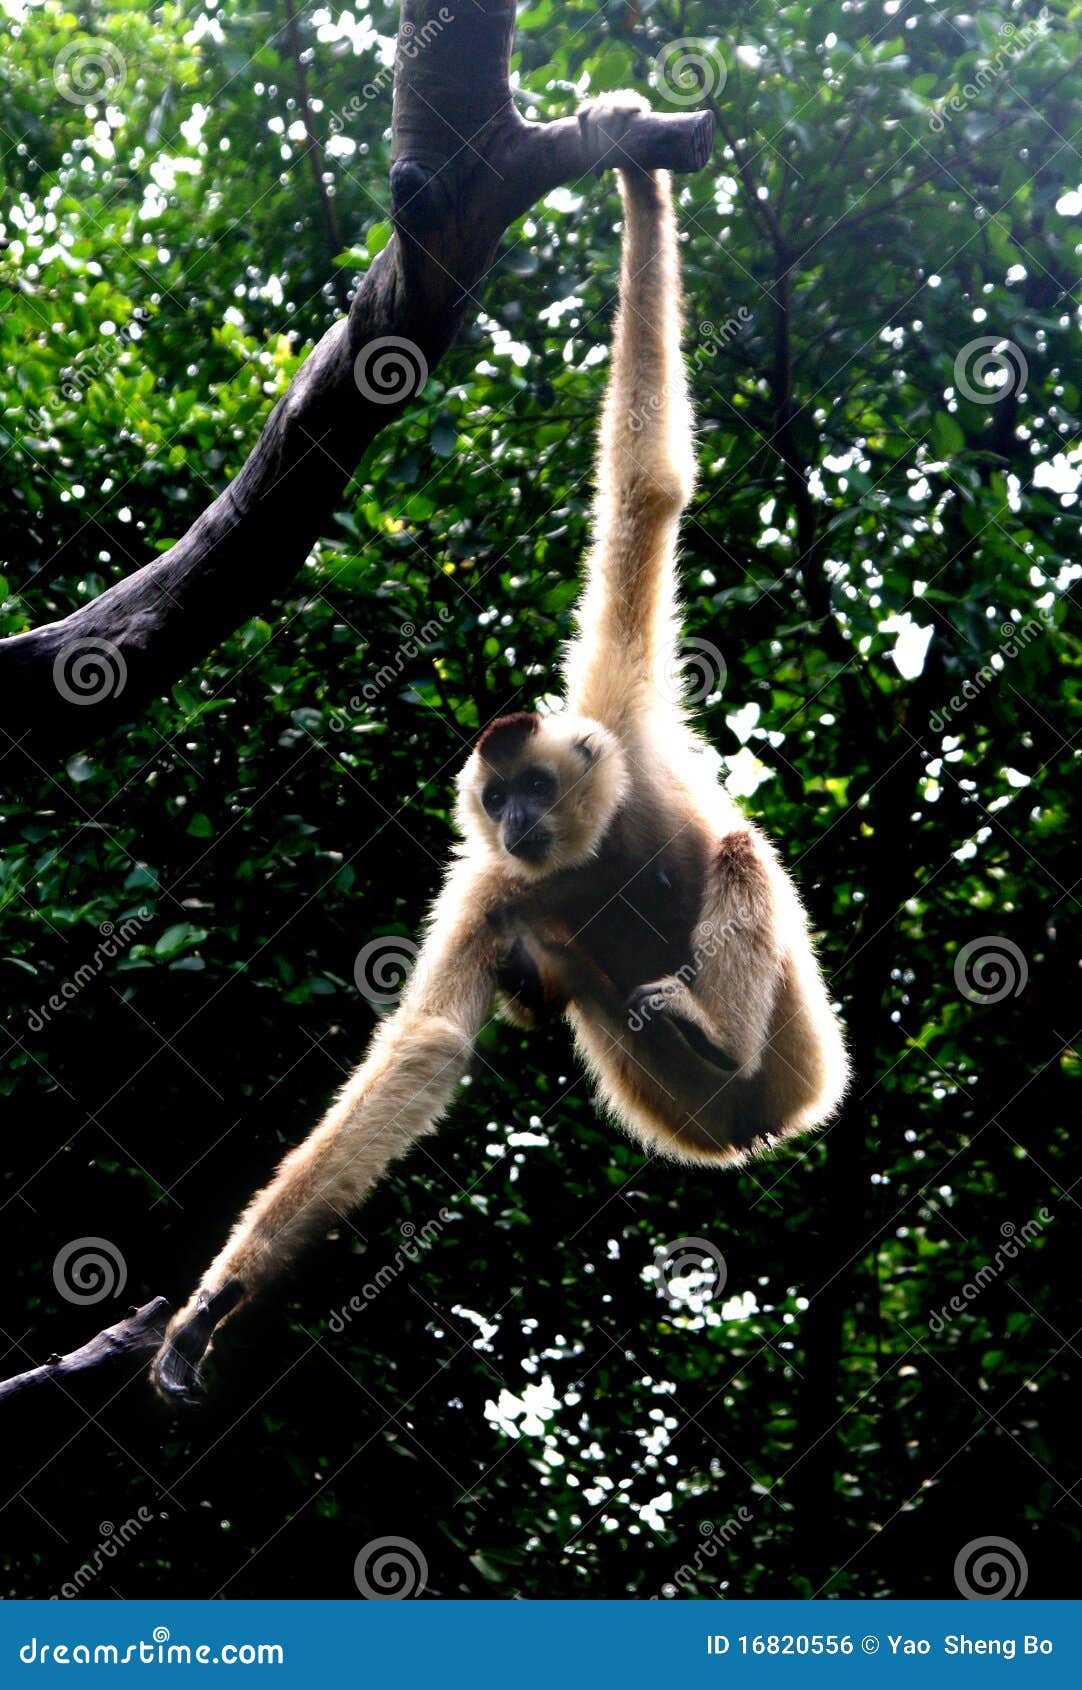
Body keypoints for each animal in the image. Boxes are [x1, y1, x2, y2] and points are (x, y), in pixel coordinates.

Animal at [151, 93, 848, 1400]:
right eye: (499, 800)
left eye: (530, 785)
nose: (519, 820)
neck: (596, 839)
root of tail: (756, 1126)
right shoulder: (488, 886)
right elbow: (423, 1043)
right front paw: (218, 1299)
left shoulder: (619, 712)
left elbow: (646, 486)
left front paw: (633, 172)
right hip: (671, 1105)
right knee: (576, 981)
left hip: (801, 1055)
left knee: (737, 852)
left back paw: (709, 1021)